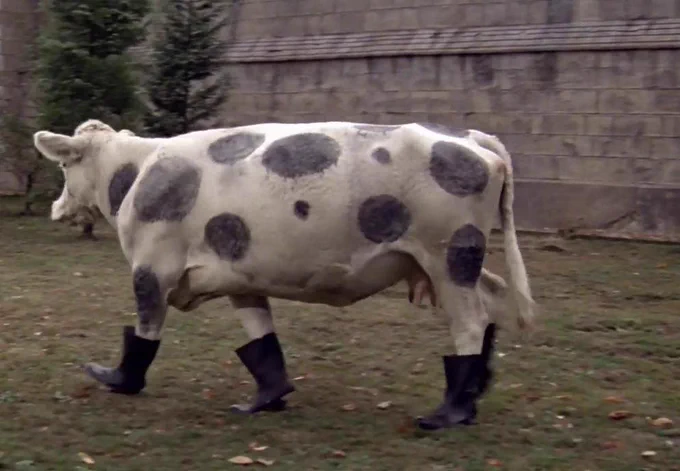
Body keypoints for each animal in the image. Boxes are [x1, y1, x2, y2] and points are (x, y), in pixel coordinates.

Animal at [34, 119, 536, 431]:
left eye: (65, 164)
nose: (54, 207)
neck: (136, 173)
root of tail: (473, 138)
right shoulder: (236, 269)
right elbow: (260, 337)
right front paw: (261, 402)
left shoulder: (152, 264)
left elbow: (143, 331)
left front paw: (115, 379)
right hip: (460, 258)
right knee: (494, 297)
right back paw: (474, 397)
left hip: (448, 254)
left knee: (470, 322)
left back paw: (444, 415)